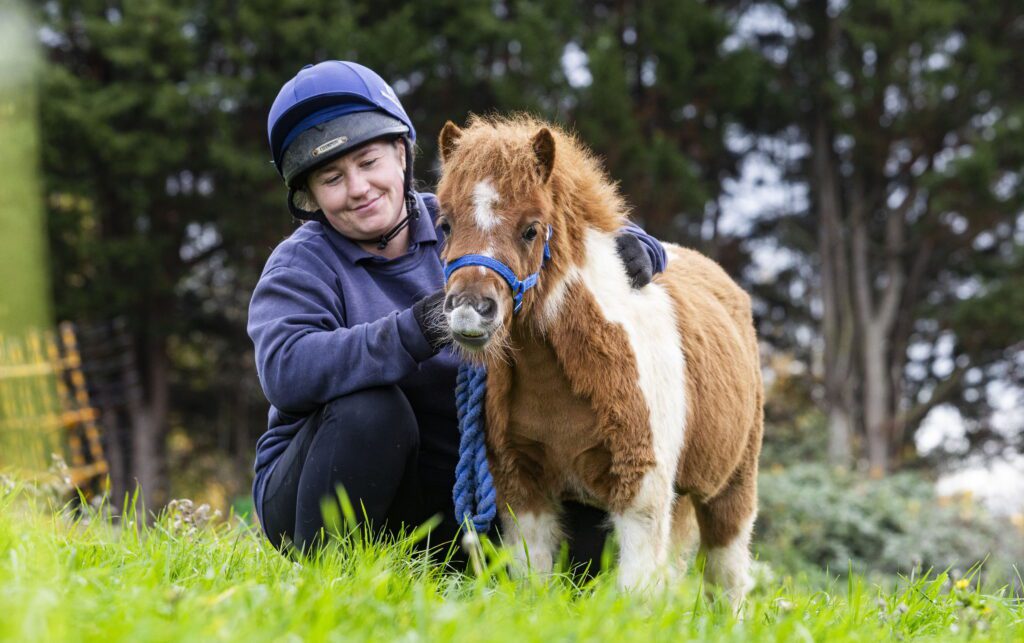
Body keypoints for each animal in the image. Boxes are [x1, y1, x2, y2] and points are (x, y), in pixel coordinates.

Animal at [435, 114, 763, 607]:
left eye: (531, 228)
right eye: (445, 224)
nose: (471, 310)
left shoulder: (641, 492)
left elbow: (636, 593)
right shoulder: (522, 487)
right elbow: (535, 583)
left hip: (731, 491)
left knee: (728, 583)